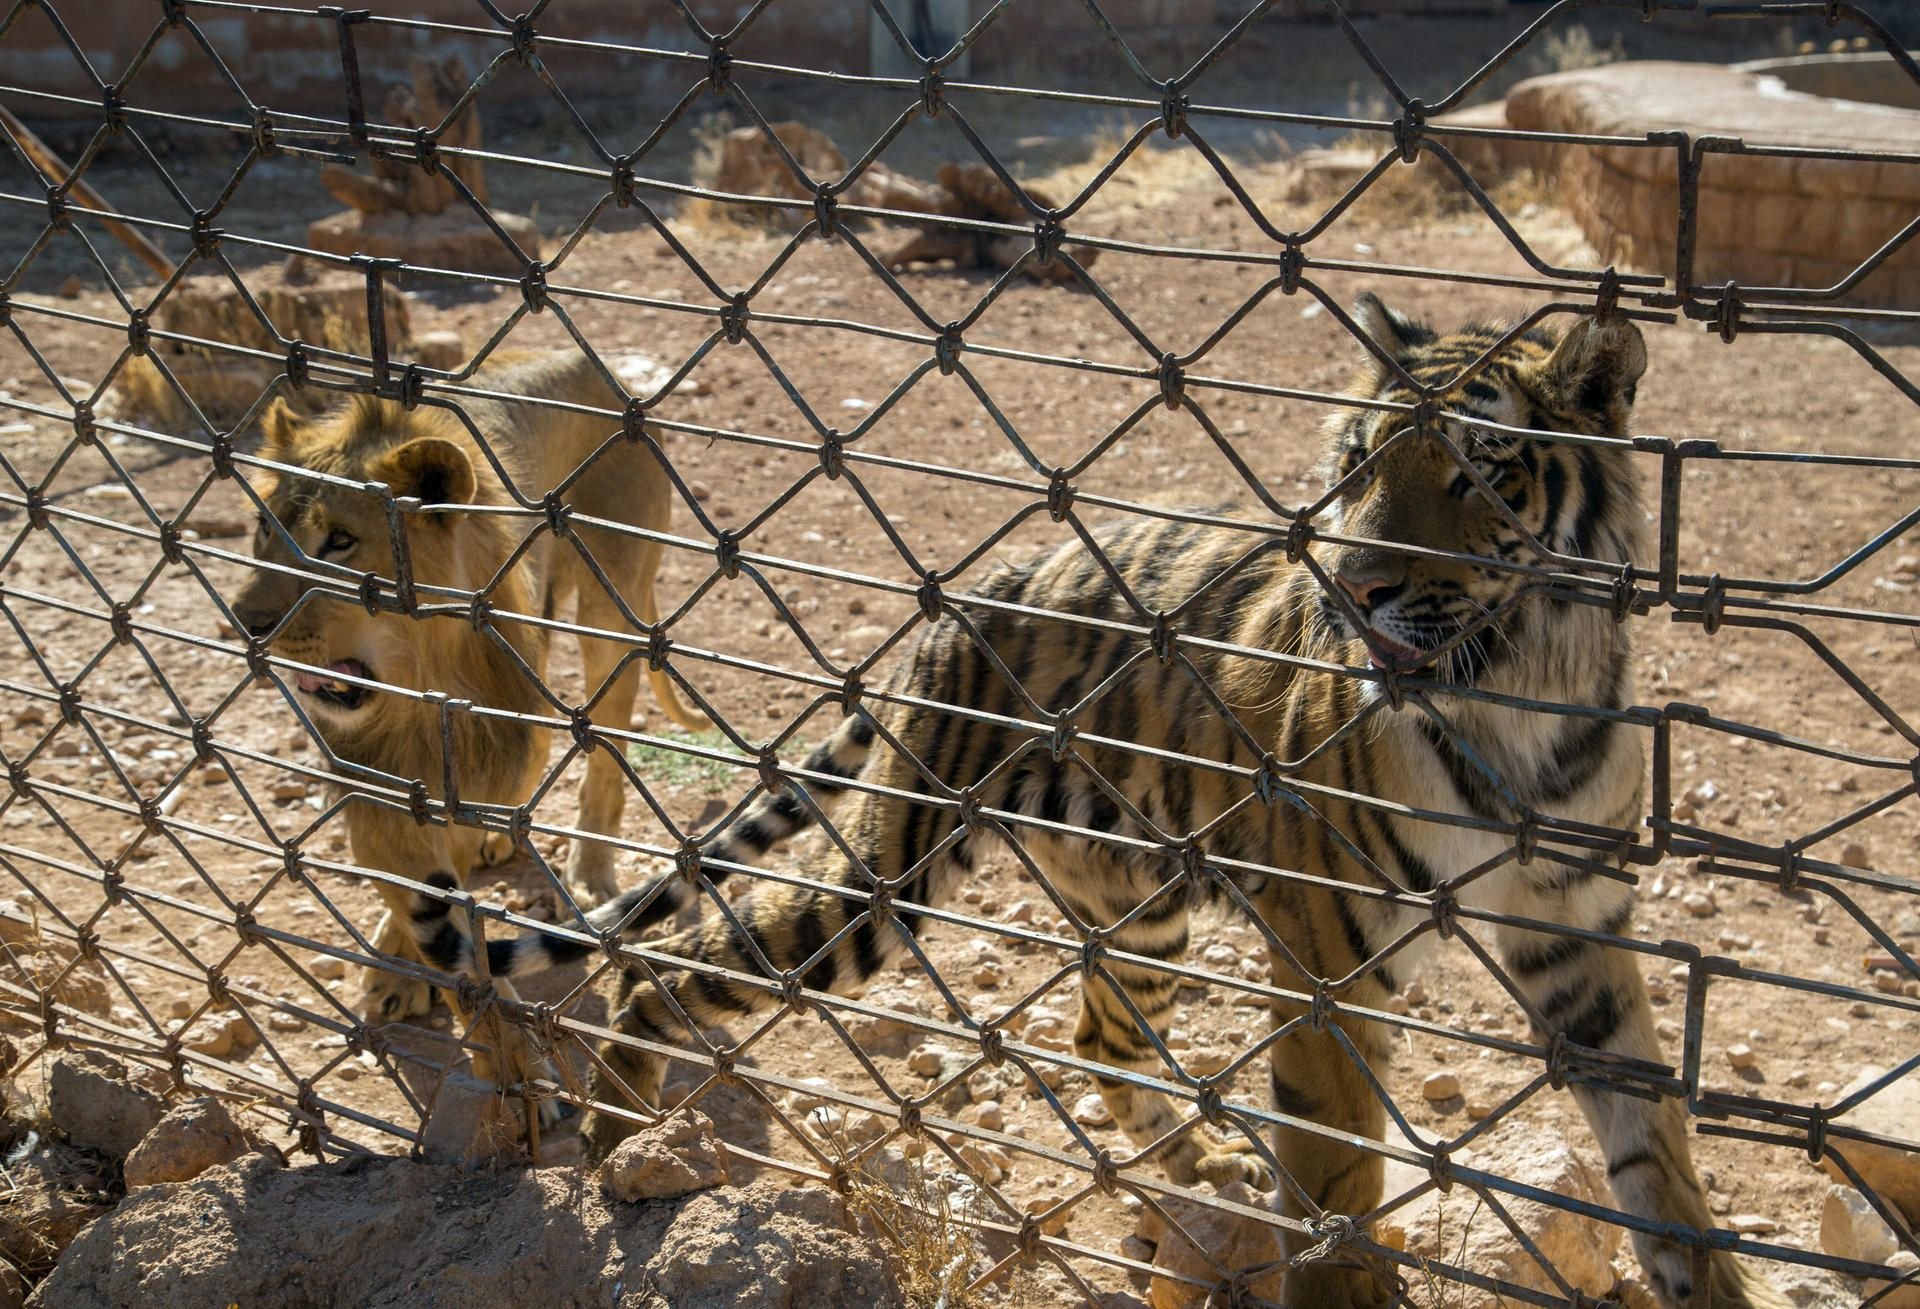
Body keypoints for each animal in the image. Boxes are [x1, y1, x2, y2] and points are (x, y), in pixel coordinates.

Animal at [232, 350, 707, 1102]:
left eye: (340, 541)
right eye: (262, 530)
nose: (243, 617)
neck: (418, 697)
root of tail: (591, 364)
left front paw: (518, 1072)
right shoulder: (377, 791)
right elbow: (423, 902)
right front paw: (407, 973)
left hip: (612, 600)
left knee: (603, 745)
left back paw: (590, 872)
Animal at [442, 298, 1786, 1307]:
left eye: (1479, 470)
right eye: (1357, 465)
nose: (1354, 588)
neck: (1521, 684)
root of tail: (971, 592)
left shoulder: (1579, 934)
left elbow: (1663, 1164)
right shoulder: (1330, 964)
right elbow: (1338, 1184)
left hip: (1138, 905)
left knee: (1104, 1039)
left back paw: (1207, 1174)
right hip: (889, 882)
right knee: (673, 960)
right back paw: (621, 1153)